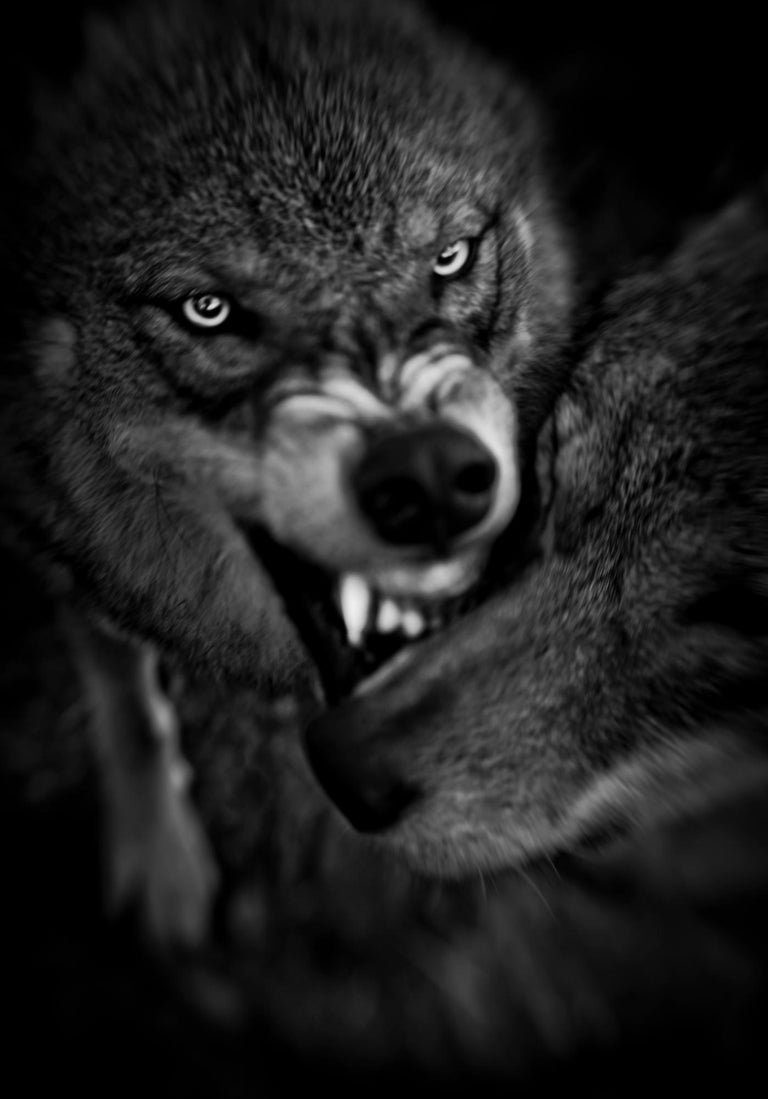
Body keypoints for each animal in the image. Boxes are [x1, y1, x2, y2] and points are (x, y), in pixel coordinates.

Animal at [0, 0, 573, 943]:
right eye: (209, 310)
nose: (428, 477)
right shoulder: (56, 534)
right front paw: (162, 862)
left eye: (450, 259)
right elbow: (129, 701)